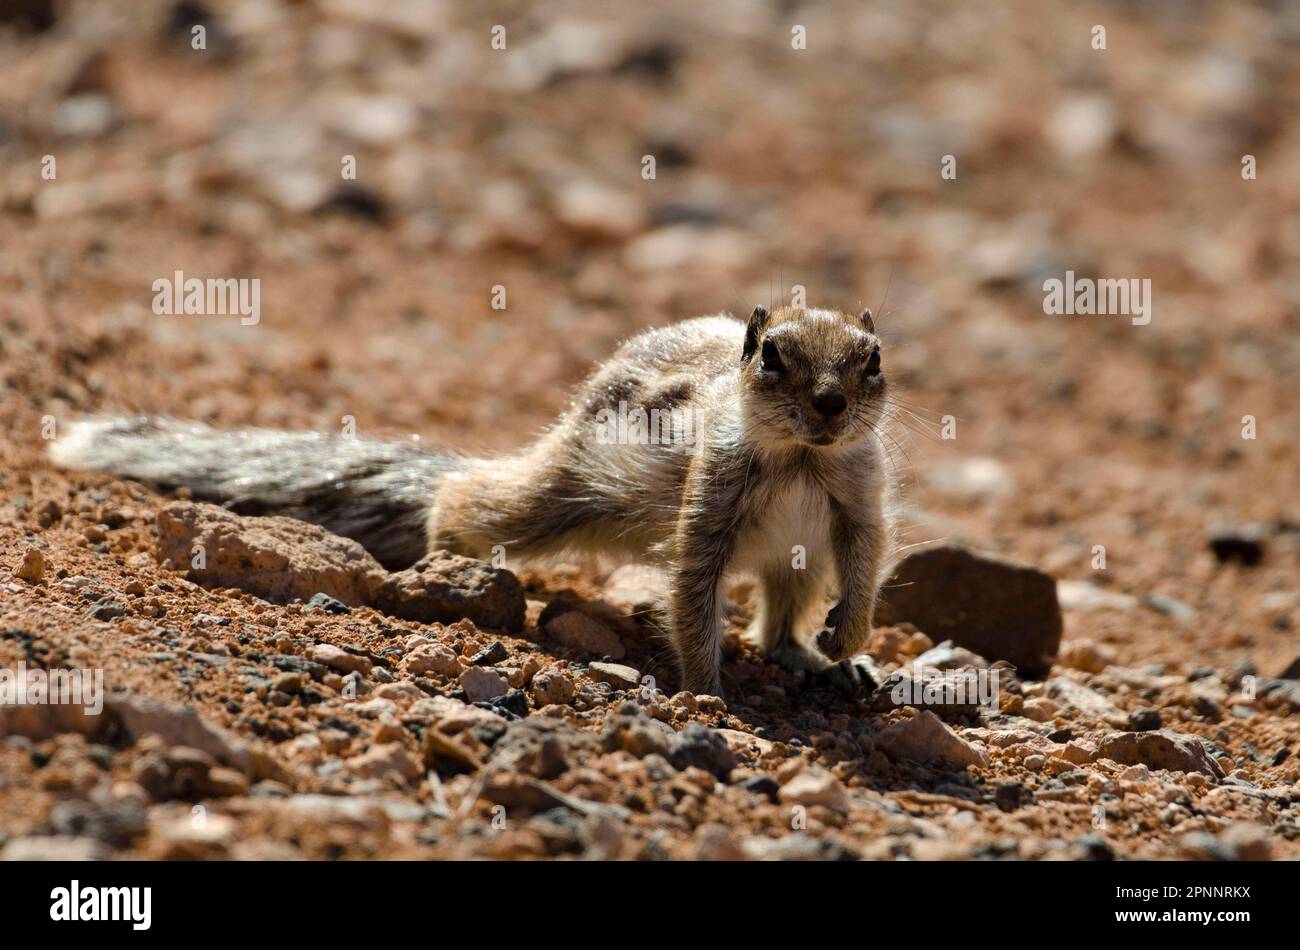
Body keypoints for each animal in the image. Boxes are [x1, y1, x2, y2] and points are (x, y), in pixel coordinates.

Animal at [50, 305, 896, 696]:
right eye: (772, 356)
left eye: (874, 358)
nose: (828, 406)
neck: (804, 460)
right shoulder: (709, 502)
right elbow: (693, 589)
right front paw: (707, 692)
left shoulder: (858, 500)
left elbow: (866, 560)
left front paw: (850, 637)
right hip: (563, 493)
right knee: (466, 499)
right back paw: (443, 564)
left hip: (792, 560)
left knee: (782, 613)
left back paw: (824, 661)